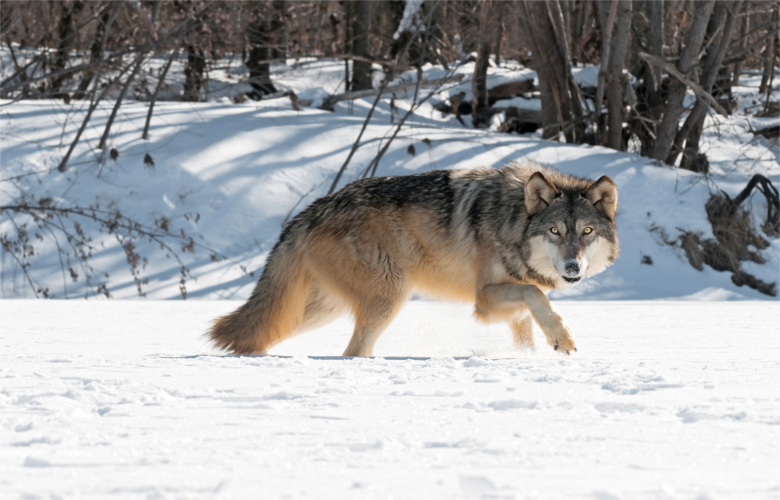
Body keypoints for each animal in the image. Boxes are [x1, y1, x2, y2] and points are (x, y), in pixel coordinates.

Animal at [209, 160, 619, 357]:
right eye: (554, 231)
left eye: (586, 231)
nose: (572, 268)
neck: (514, 220)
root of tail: (313, 208)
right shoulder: (485, 299)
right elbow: (538, 296)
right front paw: (563, 337)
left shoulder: (512, 304)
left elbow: (530, 321)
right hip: (389, 298)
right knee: (353, 351)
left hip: (323, 309)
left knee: (267, 331)